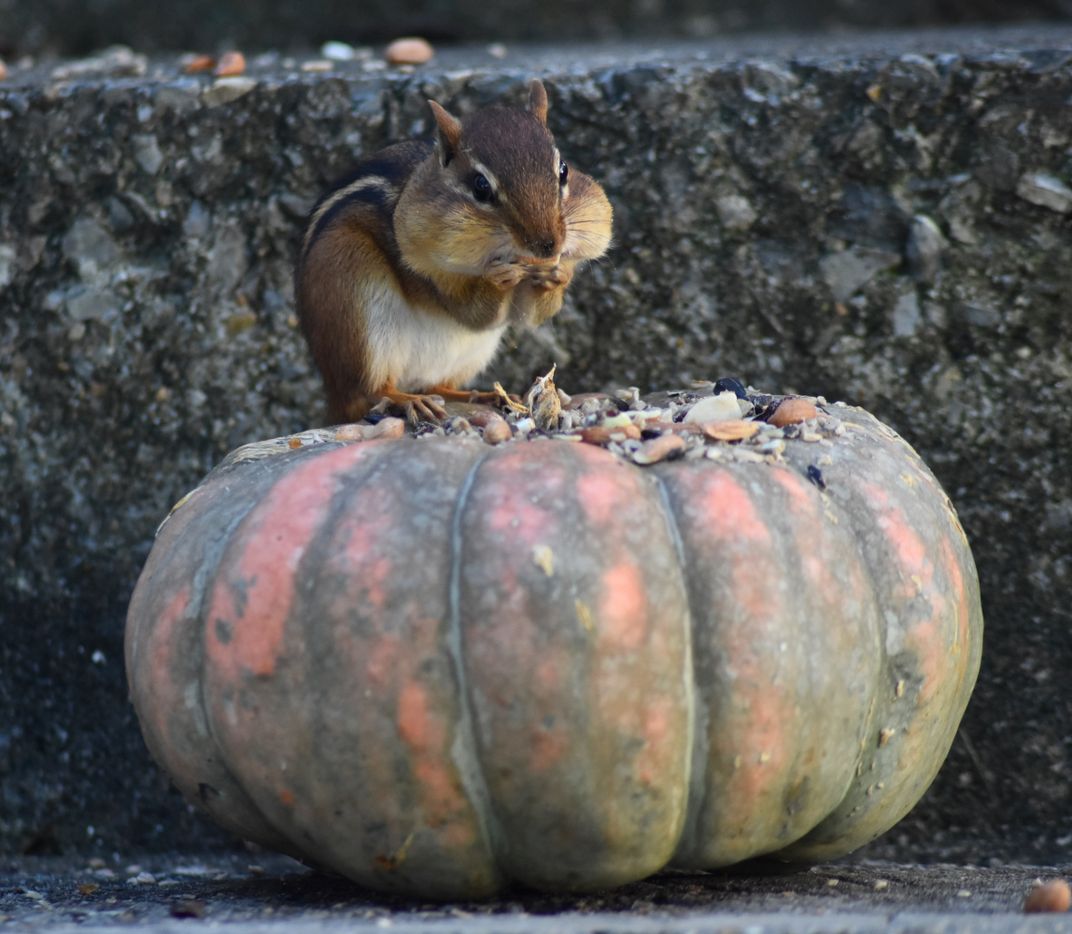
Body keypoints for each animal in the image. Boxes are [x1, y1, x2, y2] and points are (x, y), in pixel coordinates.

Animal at [295, 79, 613, 423]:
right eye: (481, 187)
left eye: (564, 170)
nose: (547, 244)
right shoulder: (430, 272)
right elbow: (471, 313)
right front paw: (498, 276)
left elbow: (529, 316)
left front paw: (558, 273)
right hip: (355, 303)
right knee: (370, 392)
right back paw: (409, 400)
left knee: (440, 385)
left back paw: (483, 395)